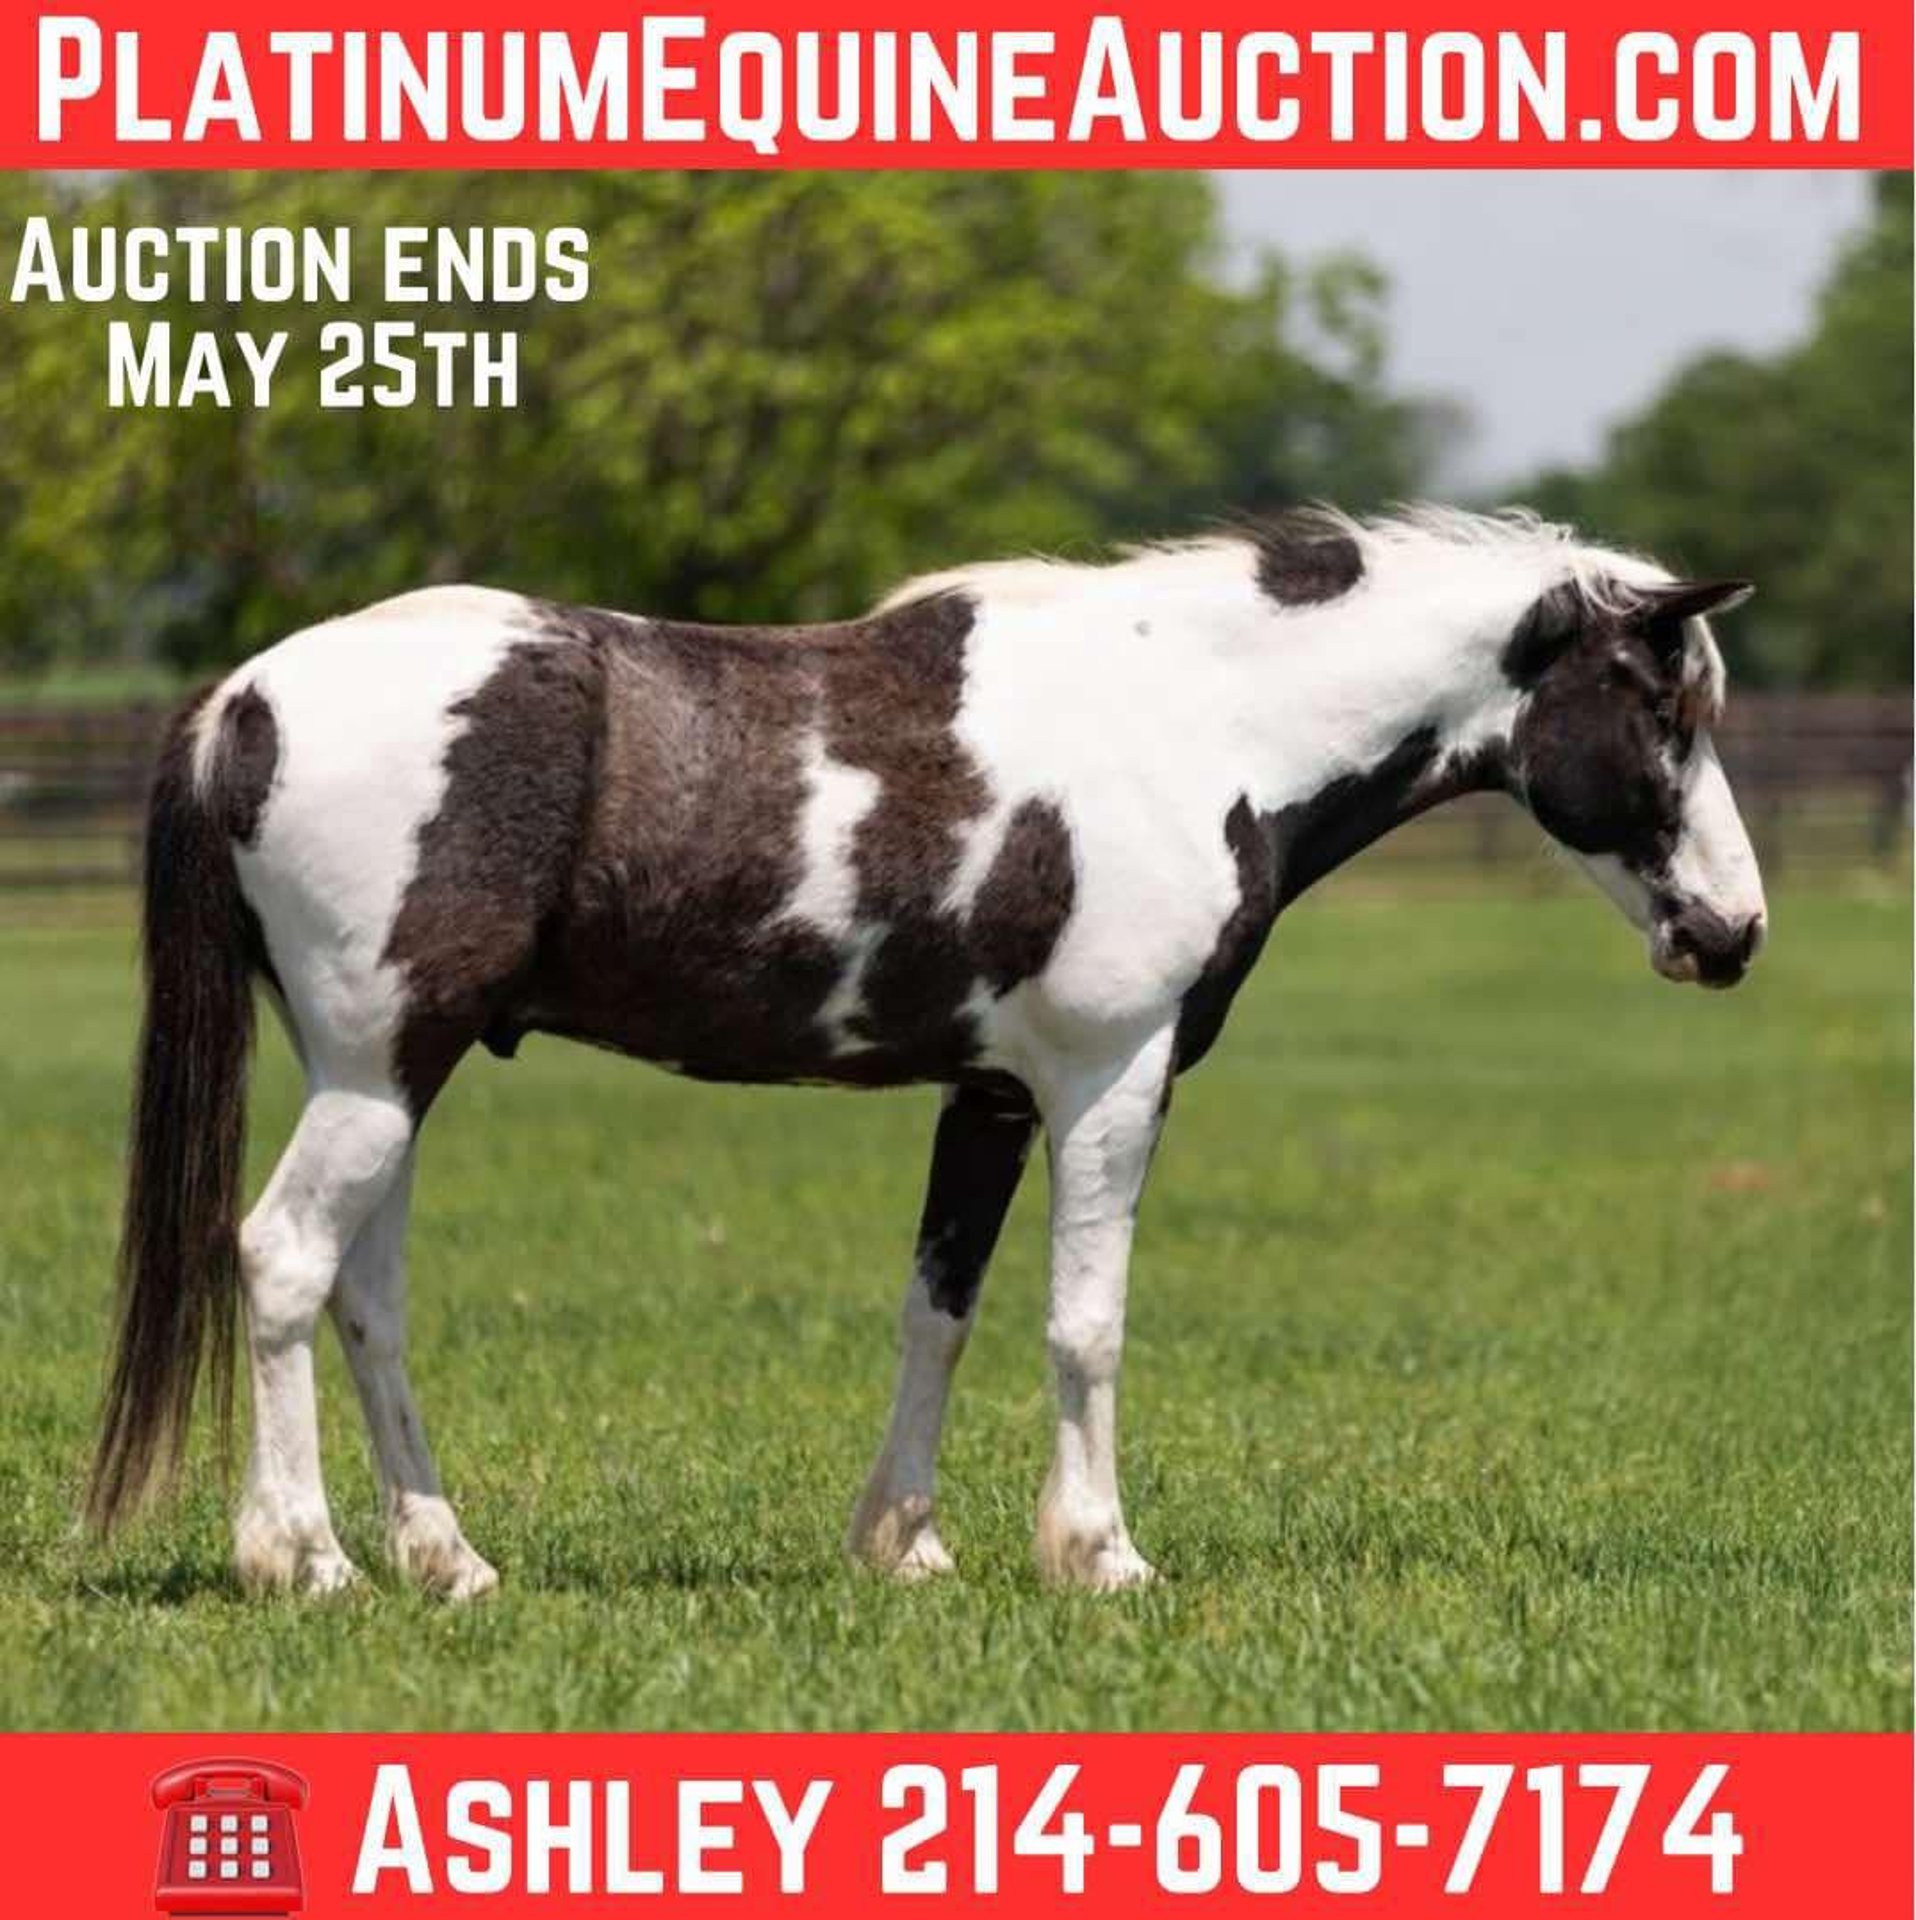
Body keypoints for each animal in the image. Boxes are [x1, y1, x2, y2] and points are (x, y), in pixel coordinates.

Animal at [87, 507, 1766, 1596]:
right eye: (1655, 703)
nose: (1735, 932)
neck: (1197, 720)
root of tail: (241, 702)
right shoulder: (1110, 1083)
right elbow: (1086, 1325)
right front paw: (1099, 1556)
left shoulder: (993, 1096)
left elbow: (936, 1314)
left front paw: (907, 1545)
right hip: (378, 1071)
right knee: (282, 1263)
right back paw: (301, 1561)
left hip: (386, 1073)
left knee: (366, 1296)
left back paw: (446, 1562)